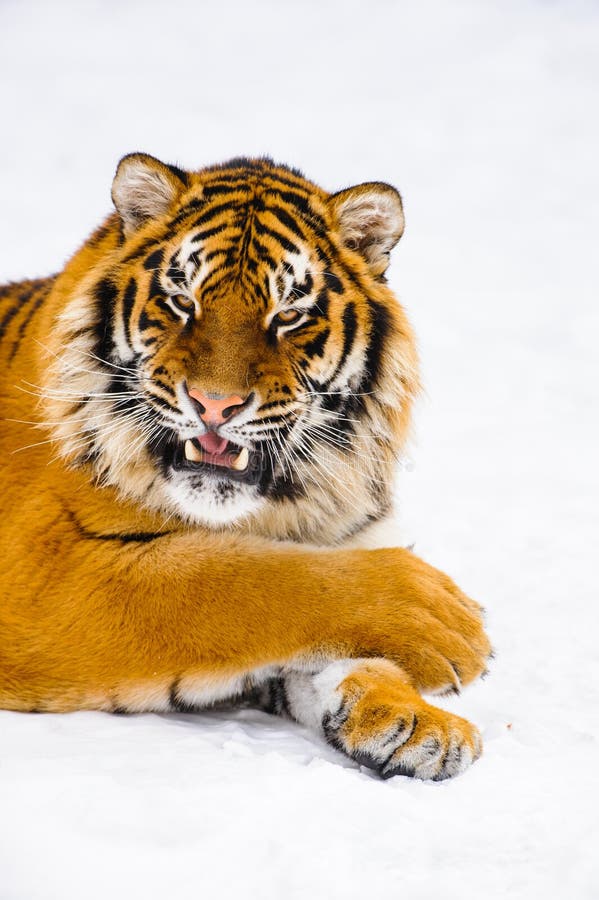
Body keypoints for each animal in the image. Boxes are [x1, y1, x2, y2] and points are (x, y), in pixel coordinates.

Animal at [0, 154, 492, 781]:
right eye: (182, 301)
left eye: (289, 315)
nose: (214, 404)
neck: (280, 506)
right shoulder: (47, 569)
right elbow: (241, 576)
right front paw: (443, 621)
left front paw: (418, 723)